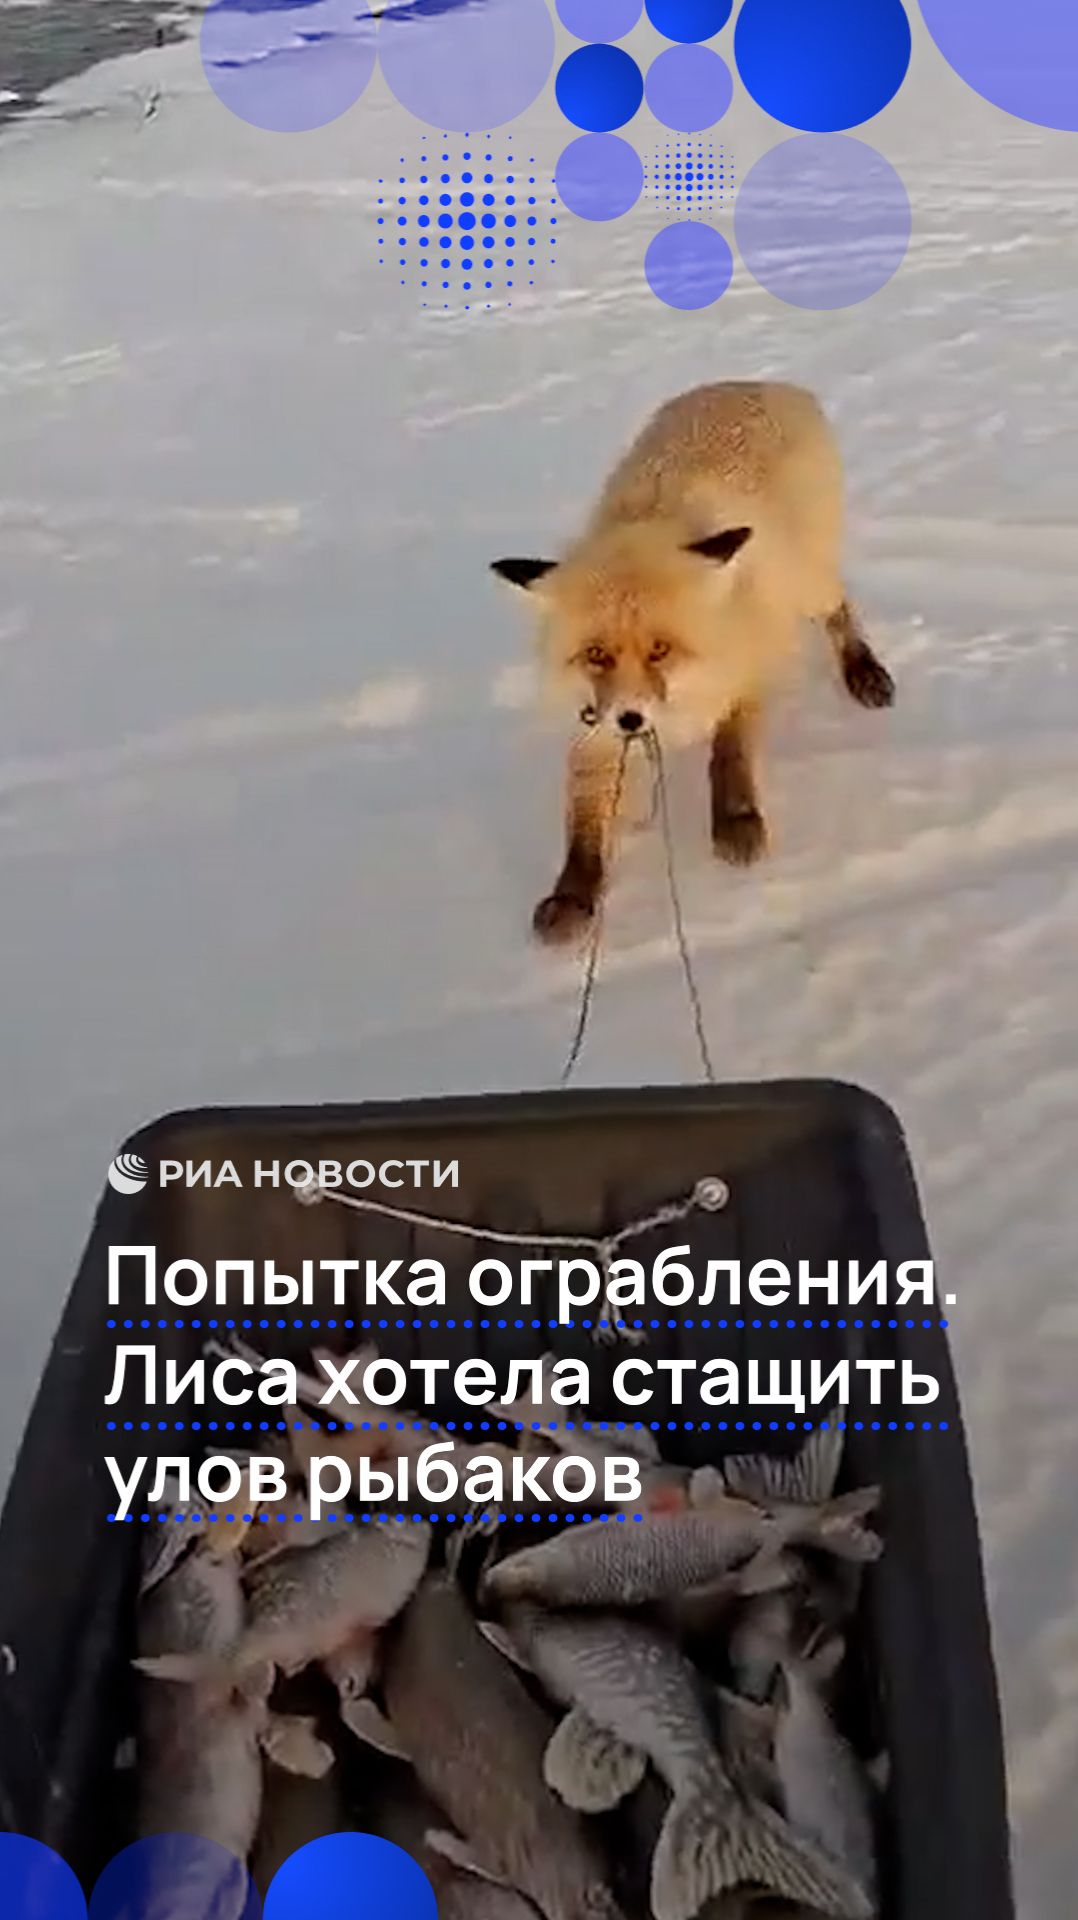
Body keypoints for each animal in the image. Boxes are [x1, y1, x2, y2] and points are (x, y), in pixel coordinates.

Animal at [491, 381, 895, 942]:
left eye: (661, 649)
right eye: (595, 655)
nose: (632, 719)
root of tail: (761, 383)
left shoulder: (747, 662)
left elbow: (730, 750)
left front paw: (736, 819)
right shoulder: (596, 724)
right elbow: (585, 817)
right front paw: (573, 895)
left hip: (806, 581)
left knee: (838, 605)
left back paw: (862, 670)